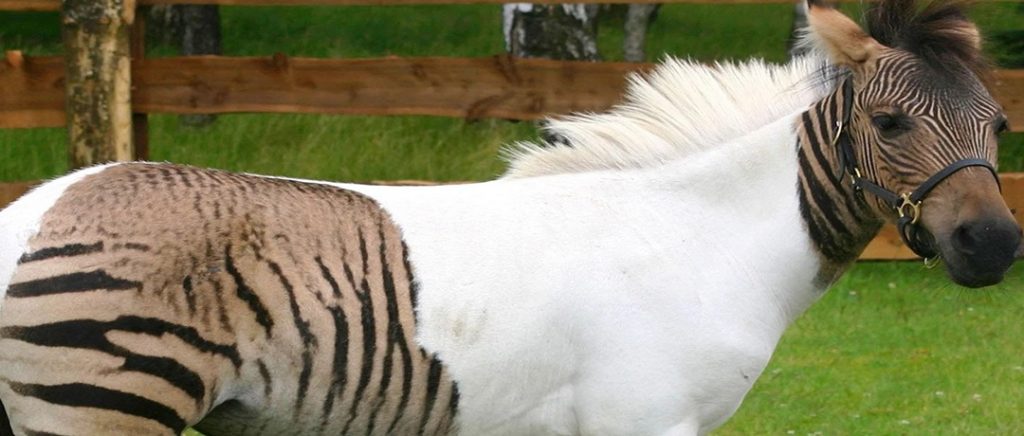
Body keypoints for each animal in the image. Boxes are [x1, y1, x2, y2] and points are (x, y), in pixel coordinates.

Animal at [0, 0, 1017, 434]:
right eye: (889, 124)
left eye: (1000, 125)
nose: (996, 244)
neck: (696, 241)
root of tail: (41, 207)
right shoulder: (642, 424)